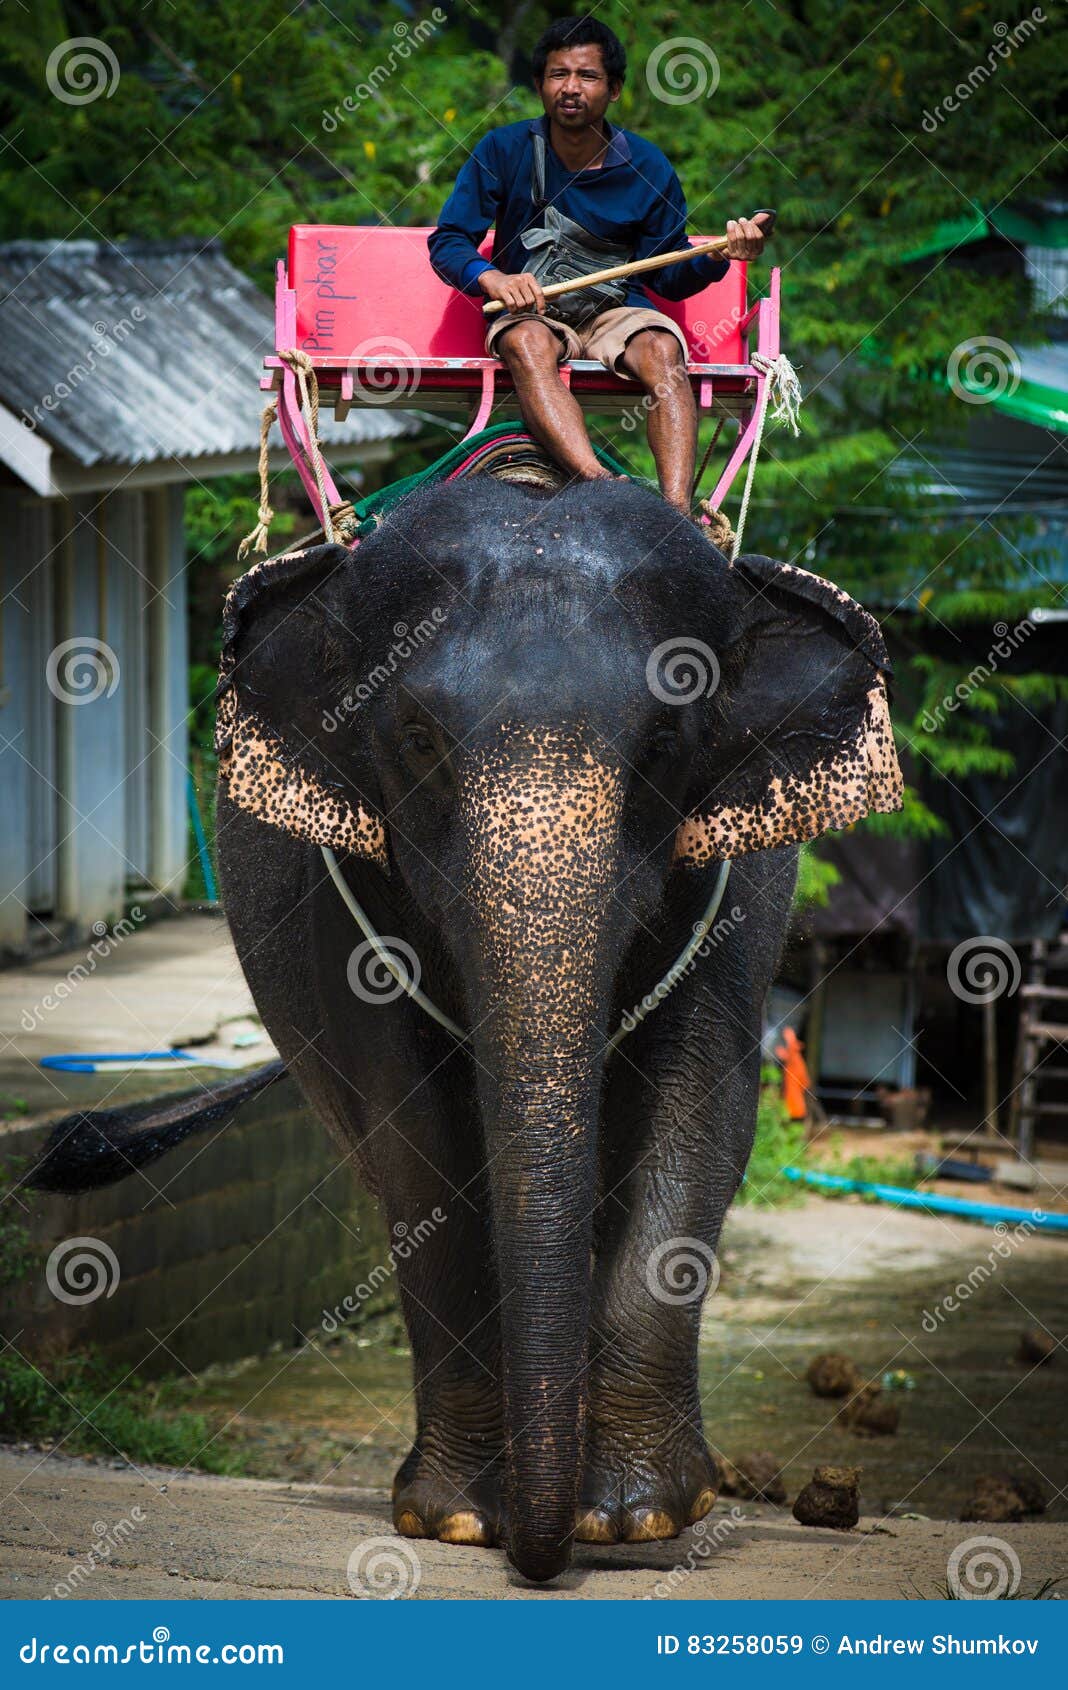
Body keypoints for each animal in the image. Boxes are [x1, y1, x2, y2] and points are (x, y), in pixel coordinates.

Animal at [30, 475, 902, 1584]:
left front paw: (635, 1519)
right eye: (416, 740)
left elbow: (700, 1113)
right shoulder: (350, 885)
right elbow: (419, 1143)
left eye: (666, 746)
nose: (541, 1558)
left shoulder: (735, 883)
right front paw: (457, 1520)